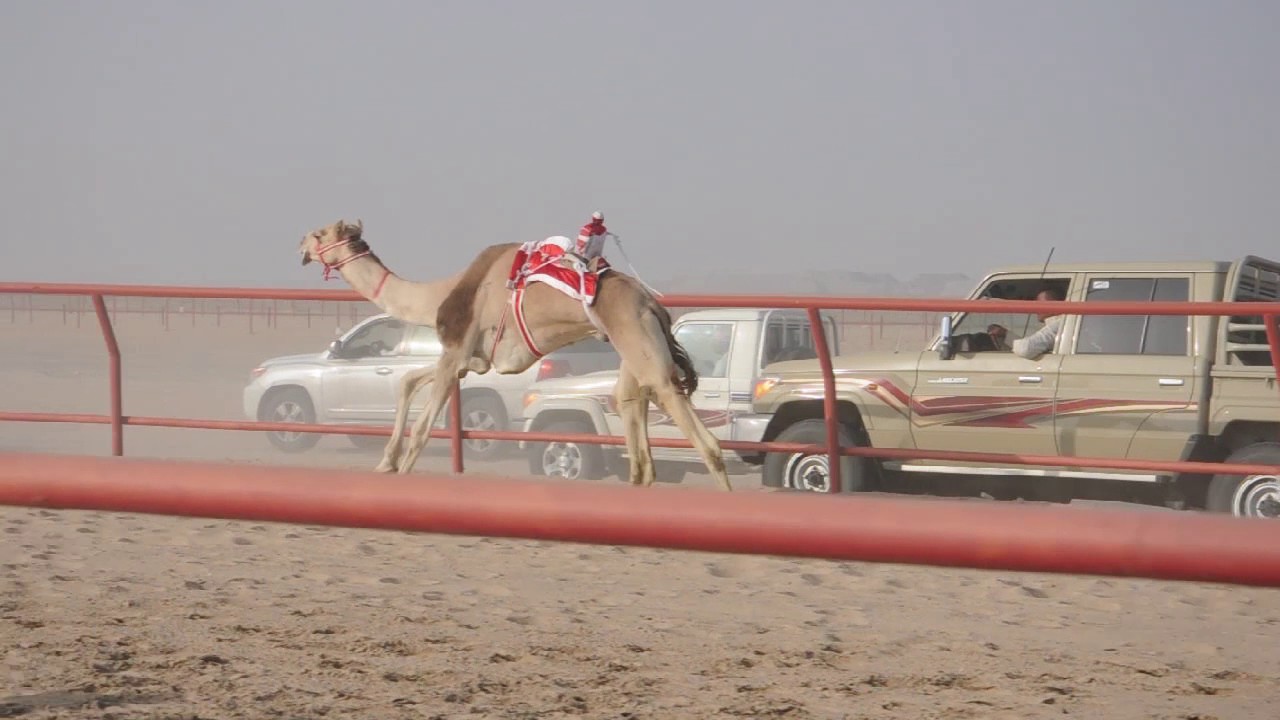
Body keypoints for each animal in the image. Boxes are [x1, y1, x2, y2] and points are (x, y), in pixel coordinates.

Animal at [296, 219, 733, 491]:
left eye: (319, 233)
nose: (300, 245)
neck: (441, 293)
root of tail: (652, 303)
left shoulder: (455, 351)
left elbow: (422, 429)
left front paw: (400, 472)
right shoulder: (469, 360)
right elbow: (407, 381)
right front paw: (385, 463)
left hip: (636, 336)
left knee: (697, 431)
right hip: (630, 341)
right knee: (634, 416)